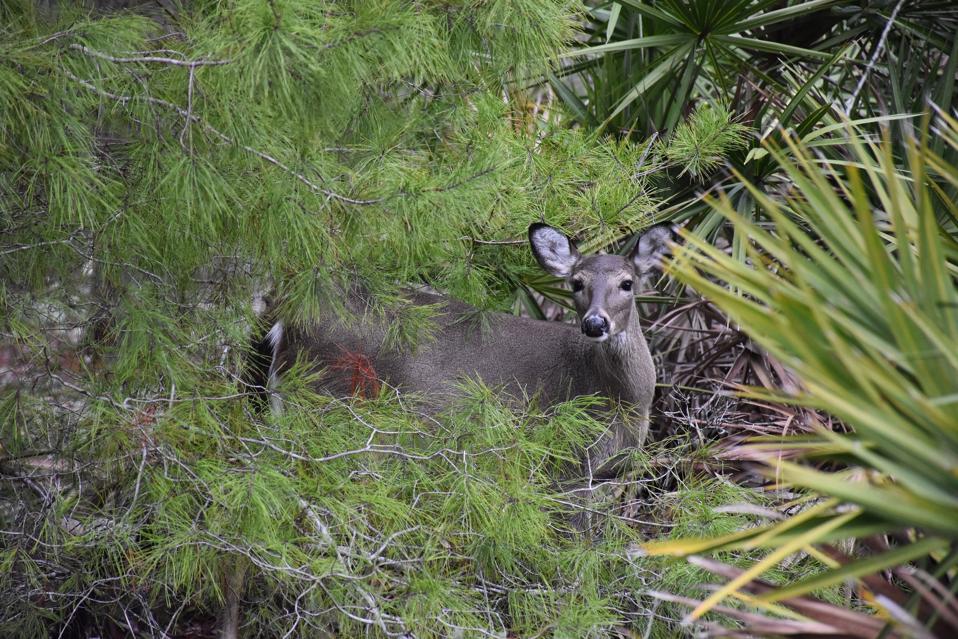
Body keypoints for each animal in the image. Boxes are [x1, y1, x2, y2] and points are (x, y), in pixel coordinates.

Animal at [251, 222, 675, 478]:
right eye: (576, 283)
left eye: (627, 283)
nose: (594, 324)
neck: (623, 400)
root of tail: (285, 318)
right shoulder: (567, 462)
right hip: (327, 402)